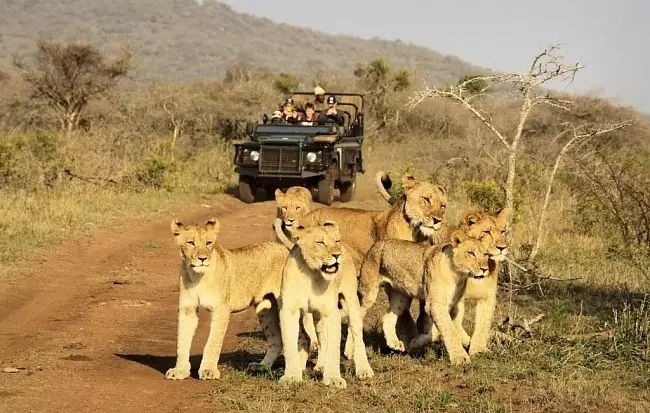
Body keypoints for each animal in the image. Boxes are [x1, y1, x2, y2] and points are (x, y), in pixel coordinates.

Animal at [165, 217, 288, 378]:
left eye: (208, 243)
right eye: (191, 243)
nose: (202, 258)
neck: (197, 277)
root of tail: (286, 249)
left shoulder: (221, 309)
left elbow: (213, 342)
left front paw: (208, 371)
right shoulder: (187, 309)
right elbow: (182, 341)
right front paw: (179, 371)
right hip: (265, 309)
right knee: (276, 340)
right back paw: (262, 366)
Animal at [276, 219, 372, 386]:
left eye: (337, 241)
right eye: (320, 242)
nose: (337, 255)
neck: (311, 274)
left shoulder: (331, 312)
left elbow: (334, 347)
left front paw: (333, 378)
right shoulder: (289, 310)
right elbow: (289, 345)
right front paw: (291, 377)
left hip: (352, 302)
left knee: (358, 336)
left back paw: (364, 370)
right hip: (316, 316)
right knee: (321, 338)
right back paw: (320, 365)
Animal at [356, 230, 488, 366]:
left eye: (486, 254)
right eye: (471, 253)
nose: (485, 269)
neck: (458, 276)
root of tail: (377, 243)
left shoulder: (450, 305)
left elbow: (438, 331)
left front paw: (415, 342)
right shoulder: (435, 304)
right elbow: (449, 330)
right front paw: (460, 358)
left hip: (402, 298)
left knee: (387, 317)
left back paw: (395, 344)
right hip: (368, 292)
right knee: (357, 318)